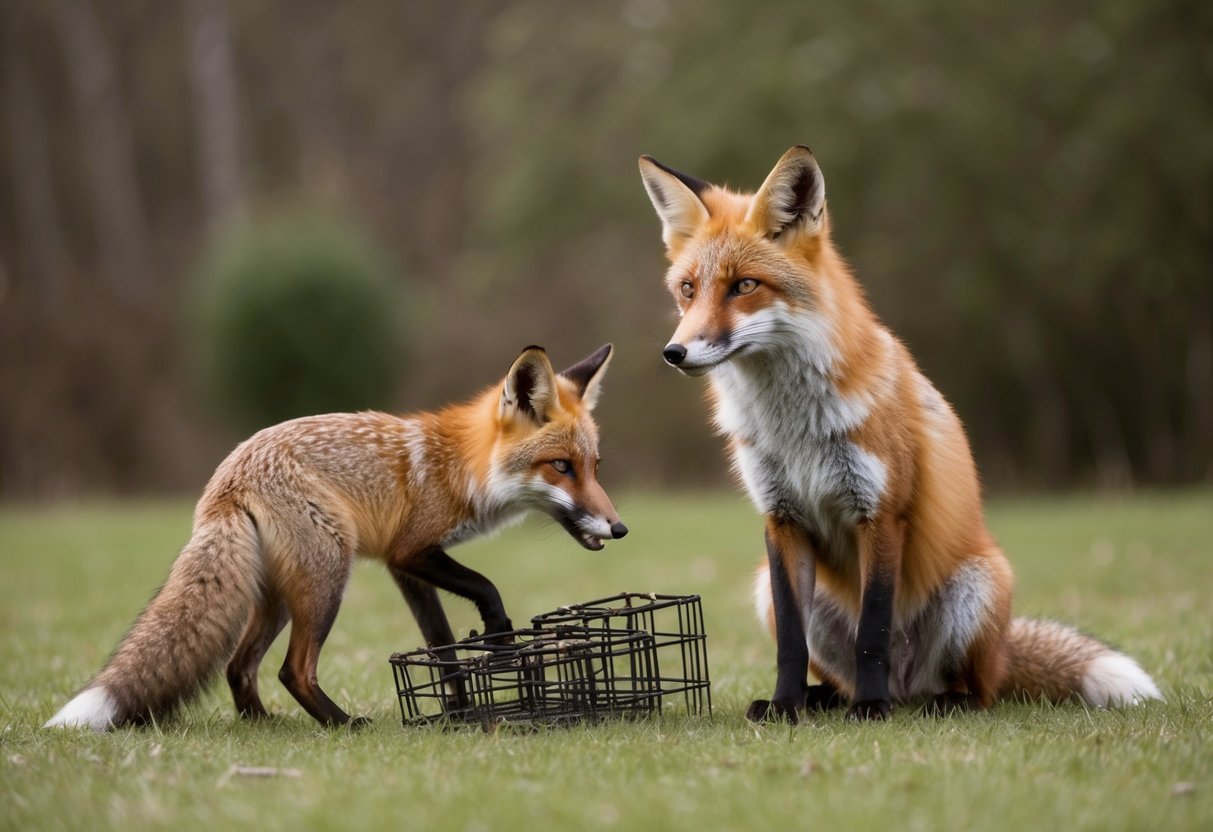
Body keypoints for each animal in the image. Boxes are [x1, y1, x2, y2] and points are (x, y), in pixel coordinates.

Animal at [45, 344, 628, 731]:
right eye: (561, 467)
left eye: (595, 467)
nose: (618, 527)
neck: (463, 469)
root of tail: (227, 479)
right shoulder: (410, 549)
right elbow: (486, 587)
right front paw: (502, 642)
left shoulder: (405, 568)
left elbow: (441, 649)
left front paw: (461, 711)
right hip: (328, 579)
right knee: (293, 670)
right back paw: (343, 724)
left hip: (279, 595)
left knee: (240, 666)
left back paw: (263, 727)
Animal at [638, 146, 1163, 721]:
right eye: (688, 290)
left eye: (744, 286)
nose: (674, 353)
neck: (794, 427)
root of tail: (909, 685)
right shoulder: (781, 520)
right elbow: (791, 643)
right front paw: (784, 706)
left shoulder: (881, 512)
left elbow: (873, 631)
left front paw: (870, 708)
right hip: (768, 590)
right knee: (838, 672)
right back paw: (825, 699)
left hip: (979, 587)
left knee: (978, 691)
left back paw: (929, 700)